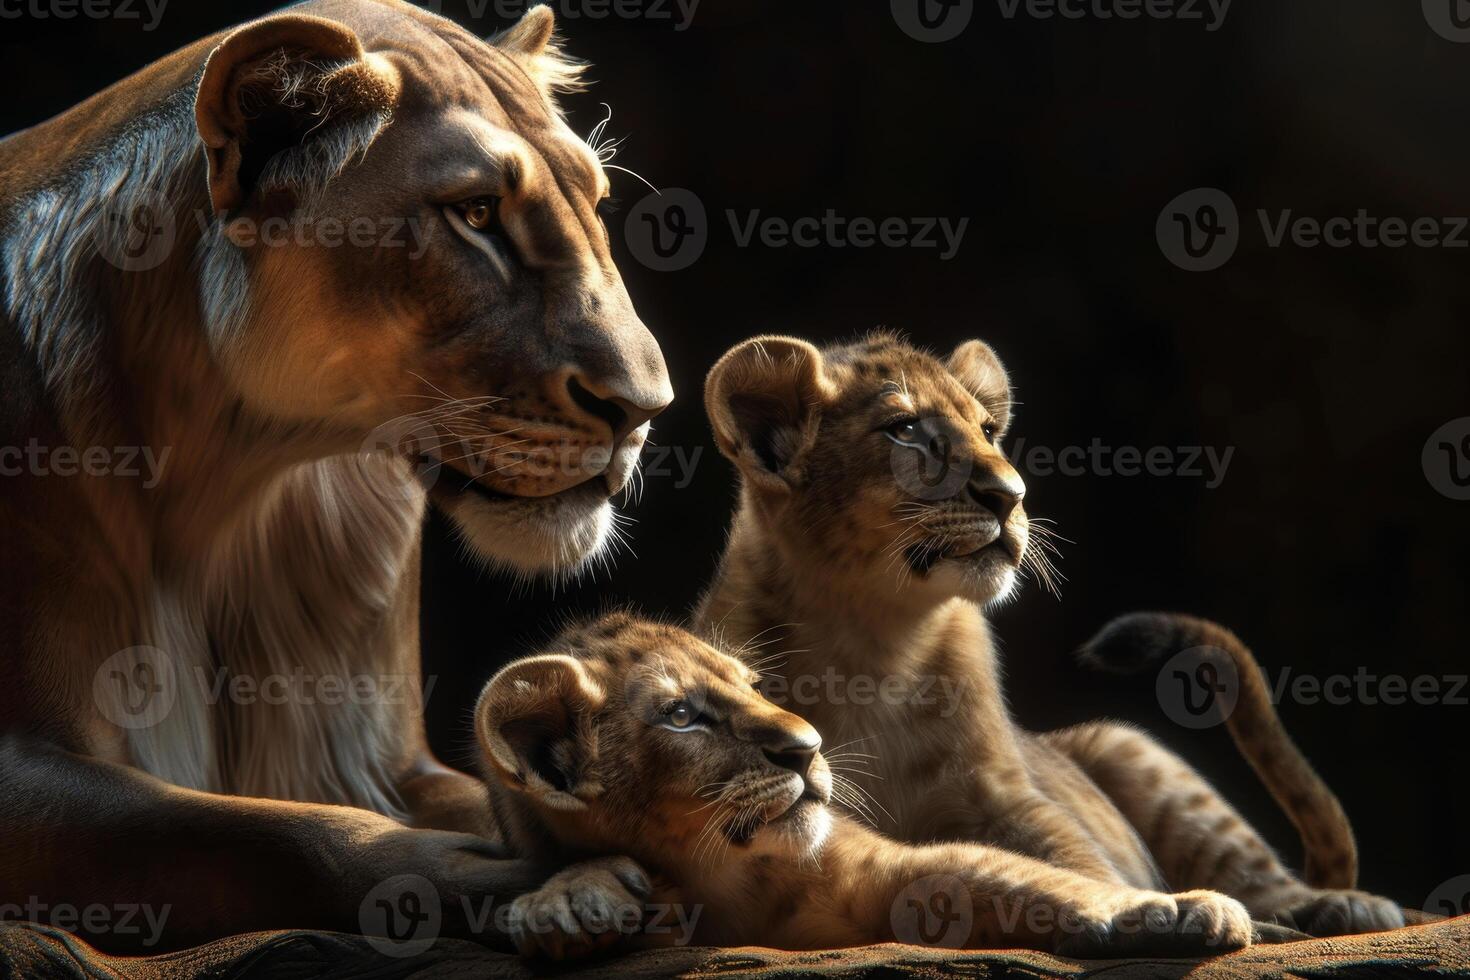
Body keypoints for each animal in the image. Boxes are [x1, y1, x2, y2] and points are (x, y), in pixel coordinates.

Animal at [0, 0, 669, 951]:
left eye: (595, 204)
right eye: (475, 213)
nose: (646, 408)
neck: (238, 490)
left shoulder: (386, 756)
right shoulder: (27, 763)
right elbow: (275, 836)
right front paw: (558, 878)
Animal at [691, 332, 1404, 936]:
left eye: (987, 431)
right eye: (906, 431)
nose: (1010, 495)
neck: (873, 635)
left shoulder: (1008, 797)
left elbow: (1075, 859)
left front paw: (1165, 907)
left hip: (1131, 750)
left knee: (1261, 874)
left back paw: (1345, 906)